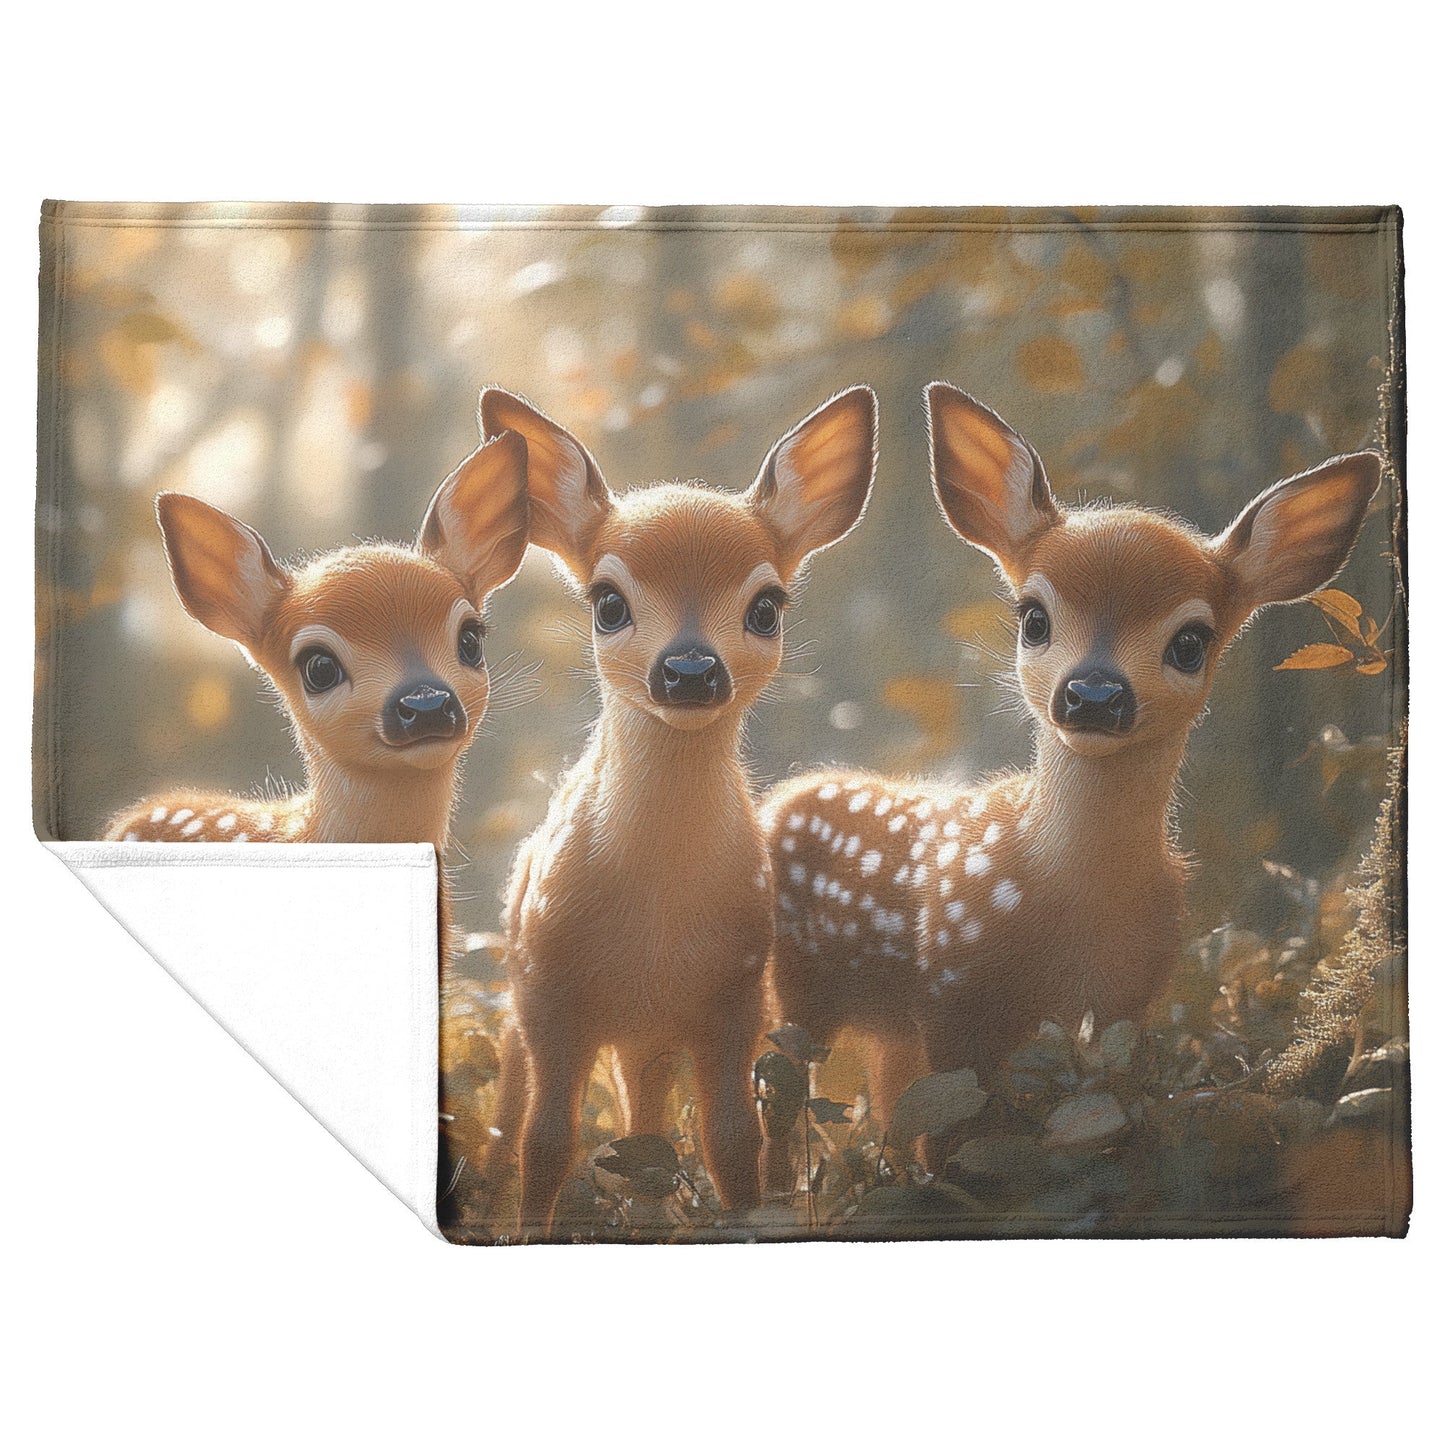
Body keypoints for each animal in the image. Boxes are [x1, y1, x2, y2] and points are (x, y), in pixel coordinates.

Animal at [477, 384, 877, 1237]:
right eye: (607, 601)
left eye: (766, 606)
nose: (689, 669)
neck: (655, 918)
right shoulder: (552, 989)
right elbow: (545, 1141)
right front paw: (531, 1231)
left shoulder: (734, 992)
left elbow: (732, 1139)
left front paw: (748, 1219)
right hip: (522, 995)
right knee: (511, 1121)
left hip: (648, 1037)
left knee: (646, 1128)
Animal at [763, 382, 1381, 1139]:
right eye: (1033, 617)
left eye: (1191, 642)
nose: (1092, 693)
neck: (1072, 902)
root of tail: (781, 795)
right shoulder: (951, 984)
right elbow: (955, 1131)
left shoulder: (1128, 997)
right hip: (795, 982)